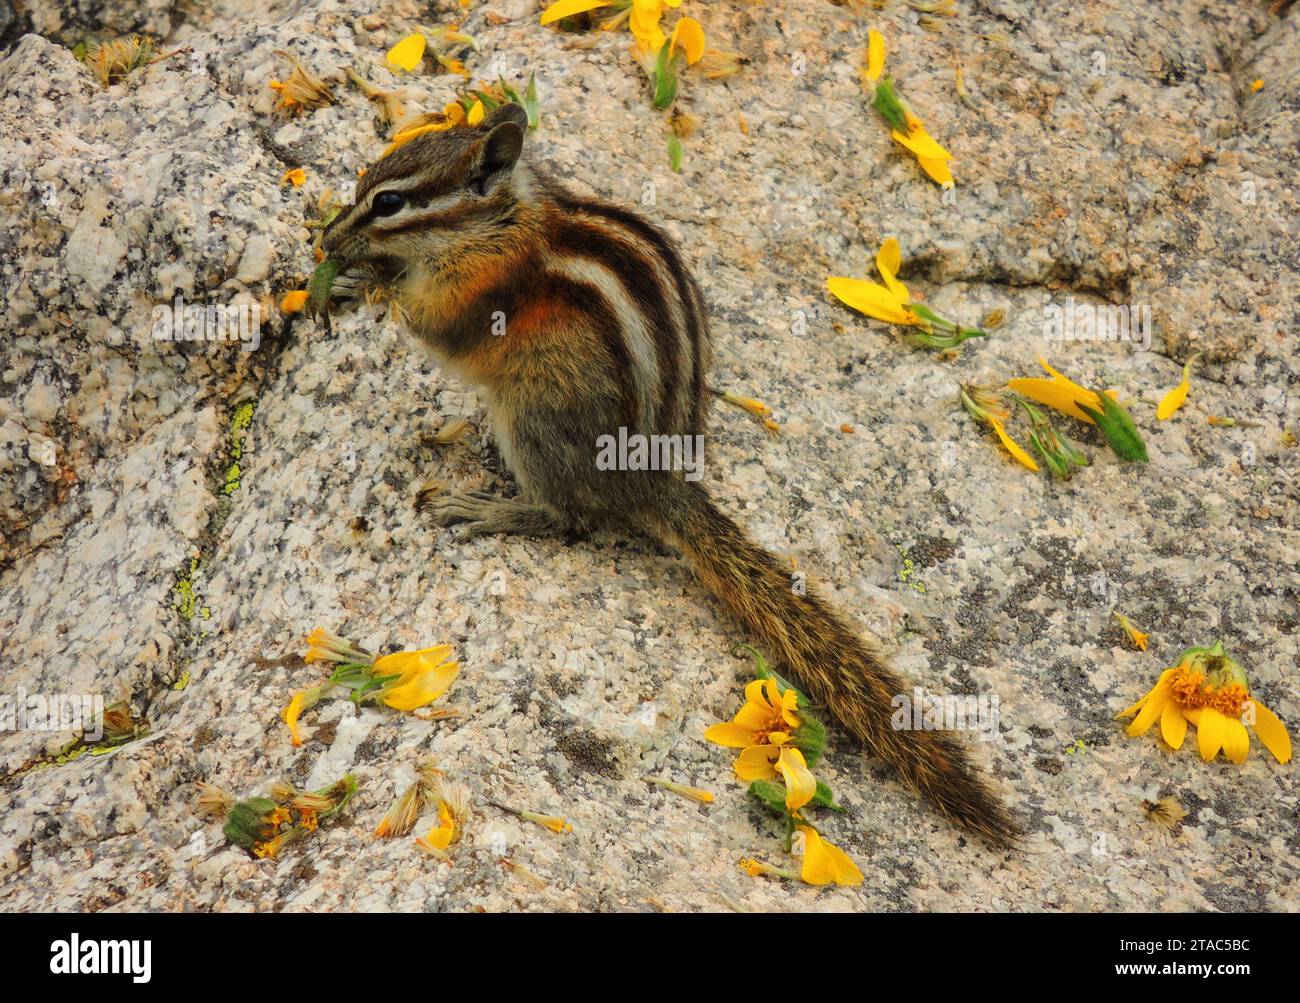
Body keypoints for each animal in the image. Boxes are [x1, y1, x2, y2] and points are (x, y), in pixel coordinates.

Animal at [317, 102, 1019, 847]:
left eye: (389, 203)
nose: (328, 238)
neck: (500, 222)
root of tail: (655, 481)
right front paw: (346, 275)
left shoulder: (479, 290)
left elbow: (431, 322)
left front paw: (373, 282)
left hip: (533, 412)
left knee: (569, 515)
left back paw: (486, 507)